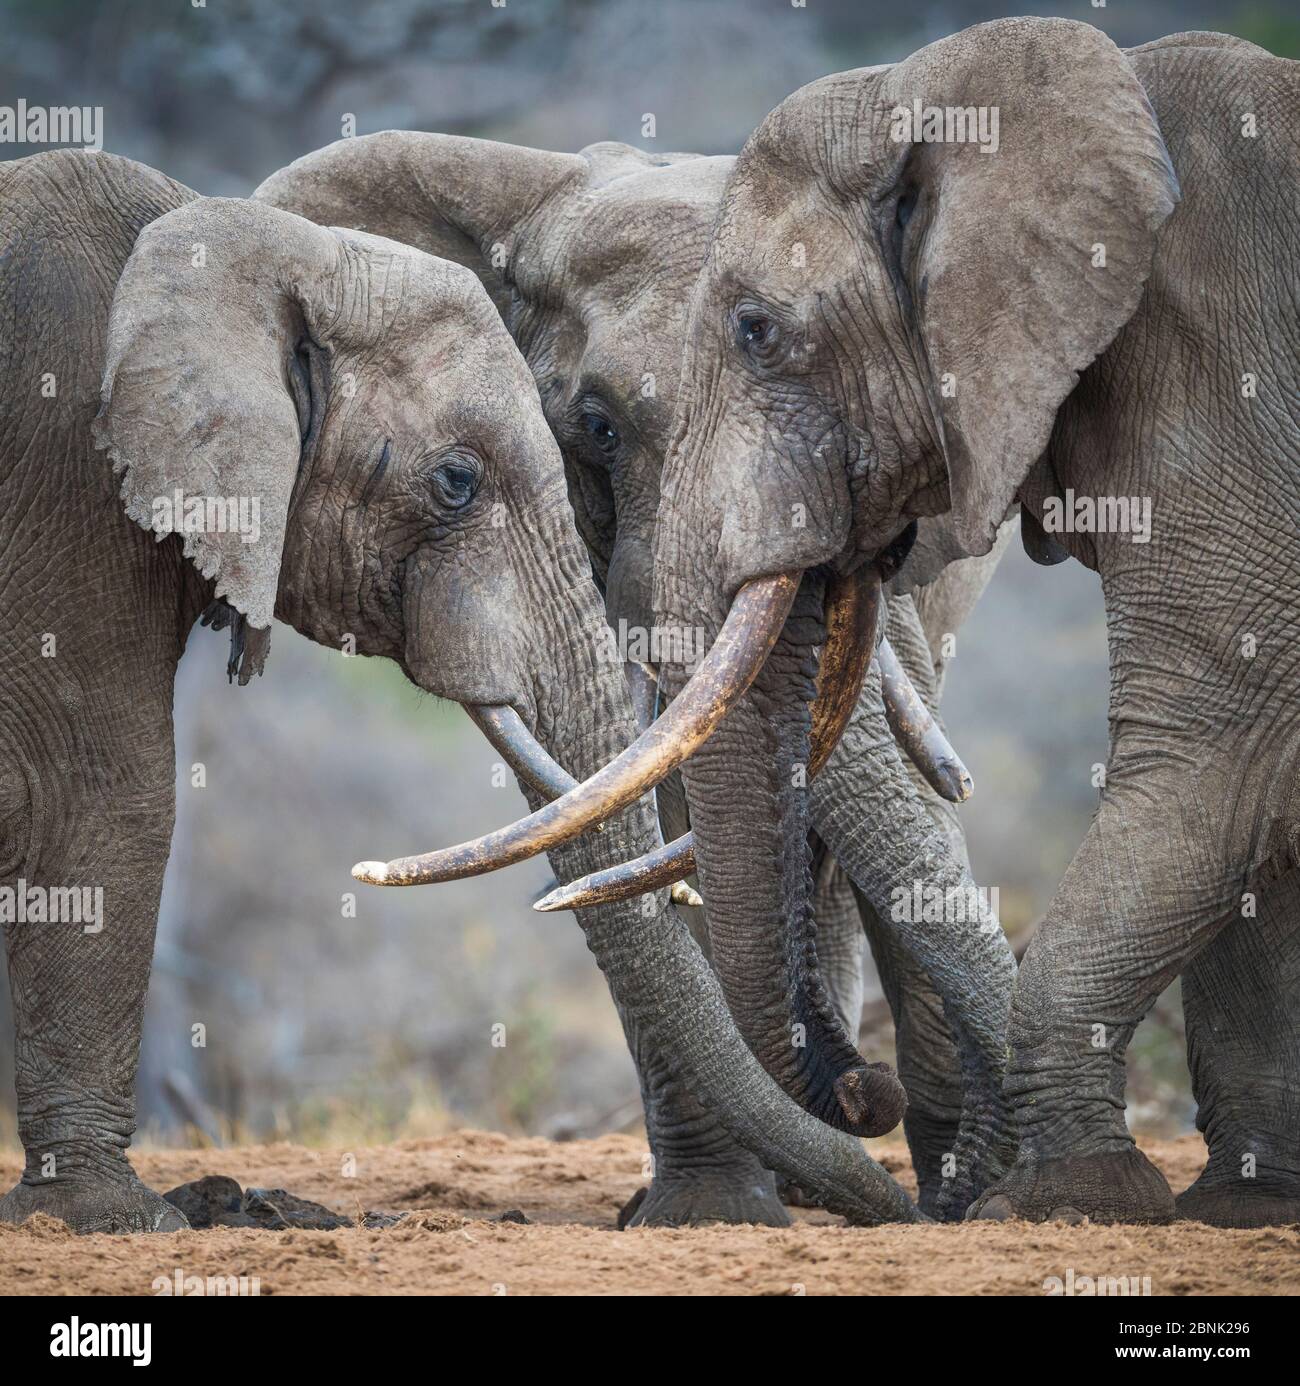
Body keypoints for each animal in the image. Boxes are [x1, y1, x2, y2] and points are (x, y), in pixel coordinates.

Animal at [0, 149, 917, 1234]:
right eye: (455, 483)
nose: (871, 1093)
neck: (239, 243)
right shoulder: (68, 489)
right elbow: (105, 801)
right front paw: (110, 1220)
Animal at [434, 22, 1298, 1227]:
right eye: (592, 430)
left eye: (755, 329)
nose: (863, 1091)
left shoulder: (1225, 383)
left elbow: (1221, 743)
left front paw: (1069, 1199)